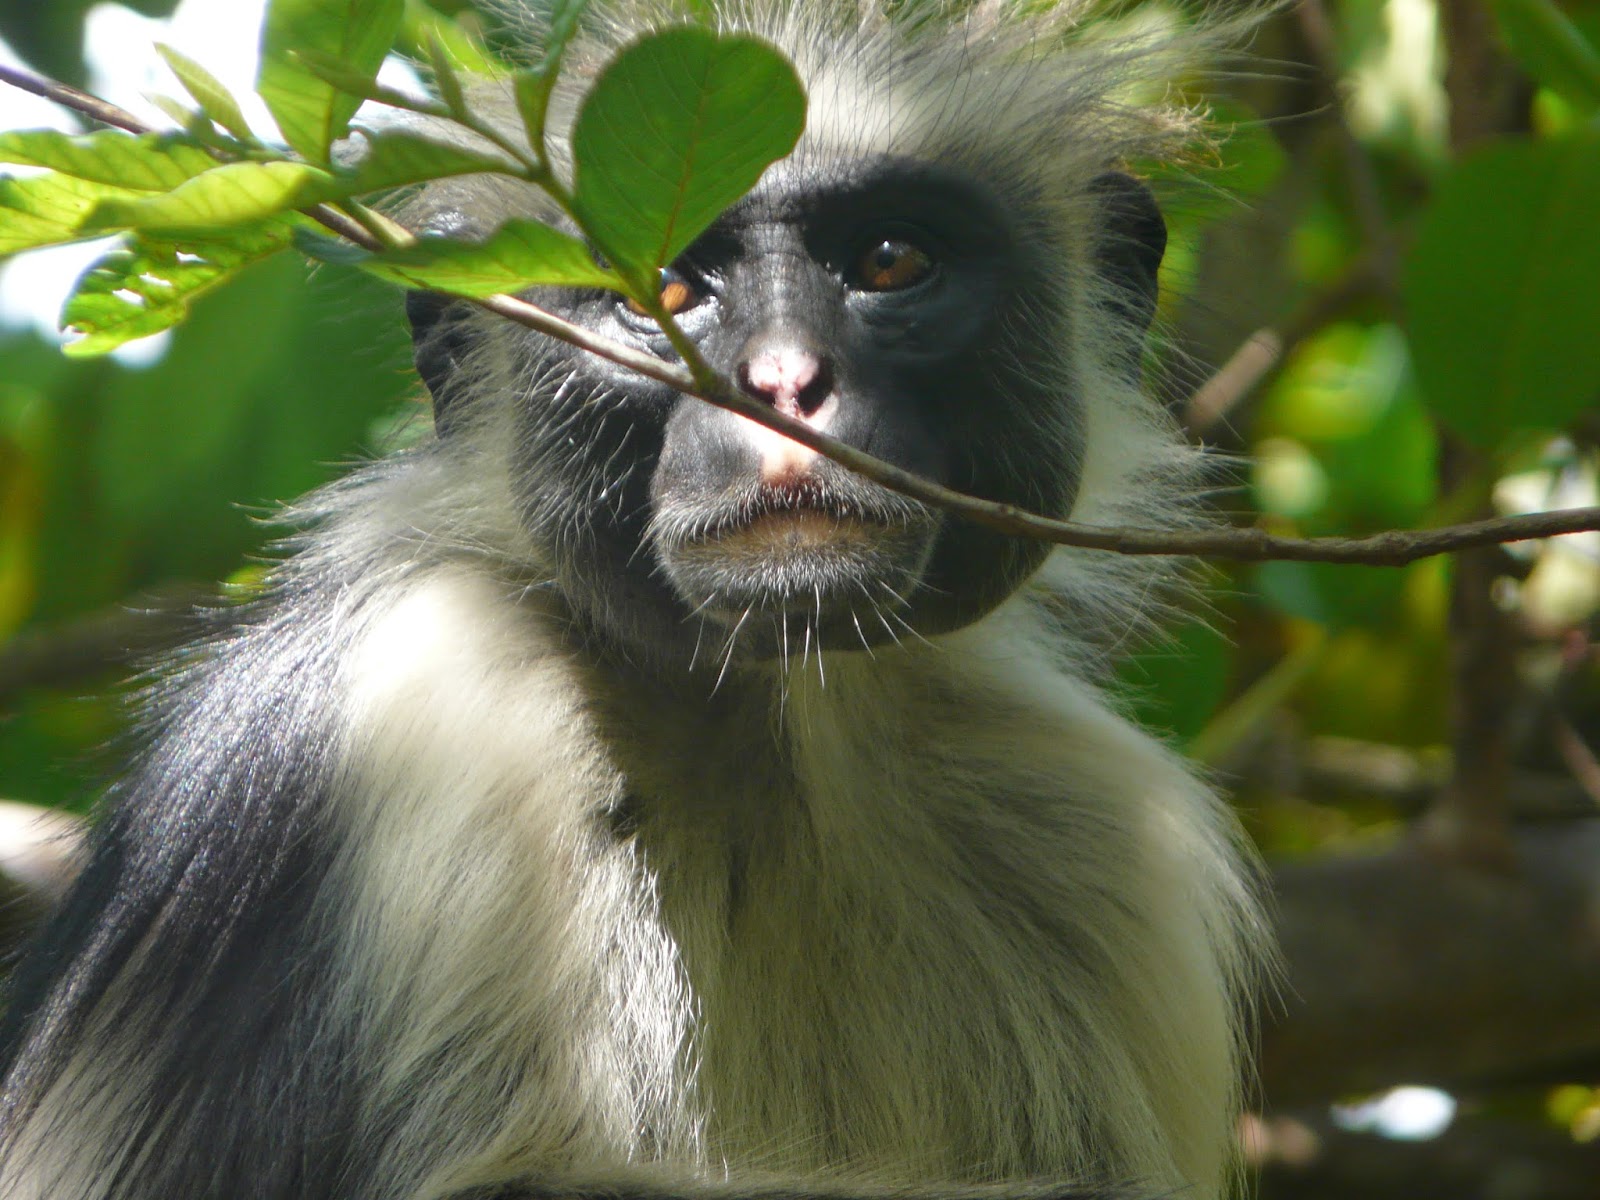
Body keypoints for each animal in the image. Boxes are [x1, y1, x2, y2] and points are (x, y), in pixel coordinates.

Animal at [0, 3, 1270, 1199]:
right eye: (662, 289)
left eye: (889, 261)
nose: (781, 384)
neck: (776, 733)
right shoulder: (430, 689)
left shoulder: (1107, 830)